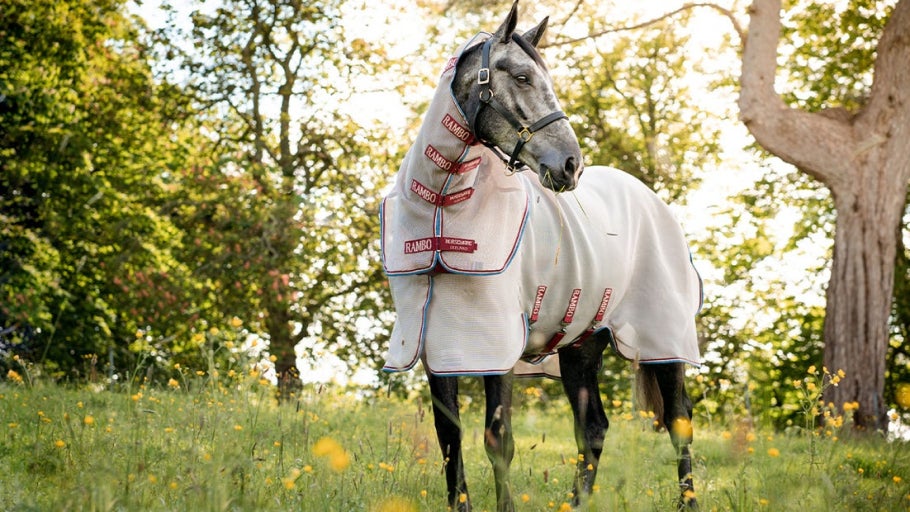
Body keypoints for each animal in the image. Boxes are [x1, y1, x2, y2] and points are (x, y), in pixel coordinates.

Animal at [380, 3, 702, 510]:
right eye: (523, 76)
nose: (571, 165)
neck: (445, 209)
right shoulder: (437, 345)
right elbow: (450, 438)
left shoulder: (496, 344)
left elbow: (498, 440)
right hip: (581, 347)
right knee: (593, 429)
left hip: (662, 341)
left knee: (678, 423)